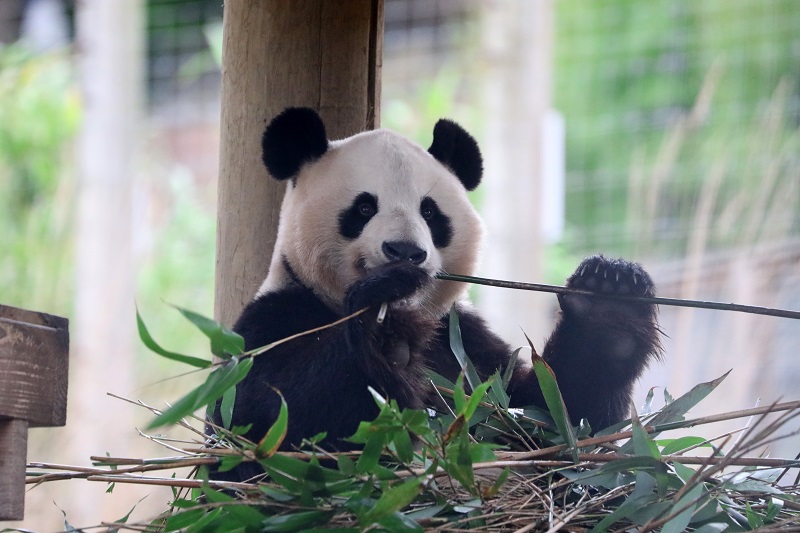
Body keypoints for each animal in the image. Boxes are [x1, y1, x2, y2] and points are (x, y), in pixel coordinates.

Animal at [211, 107, 661, 481]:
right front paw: (385, 334)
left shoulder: (465, 347)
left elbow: (556, 417)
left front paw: (609, 298)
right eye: (363, 208)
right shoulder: (272, 320)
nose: (405, 252)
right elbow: (267, 423)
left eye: (429, 212)